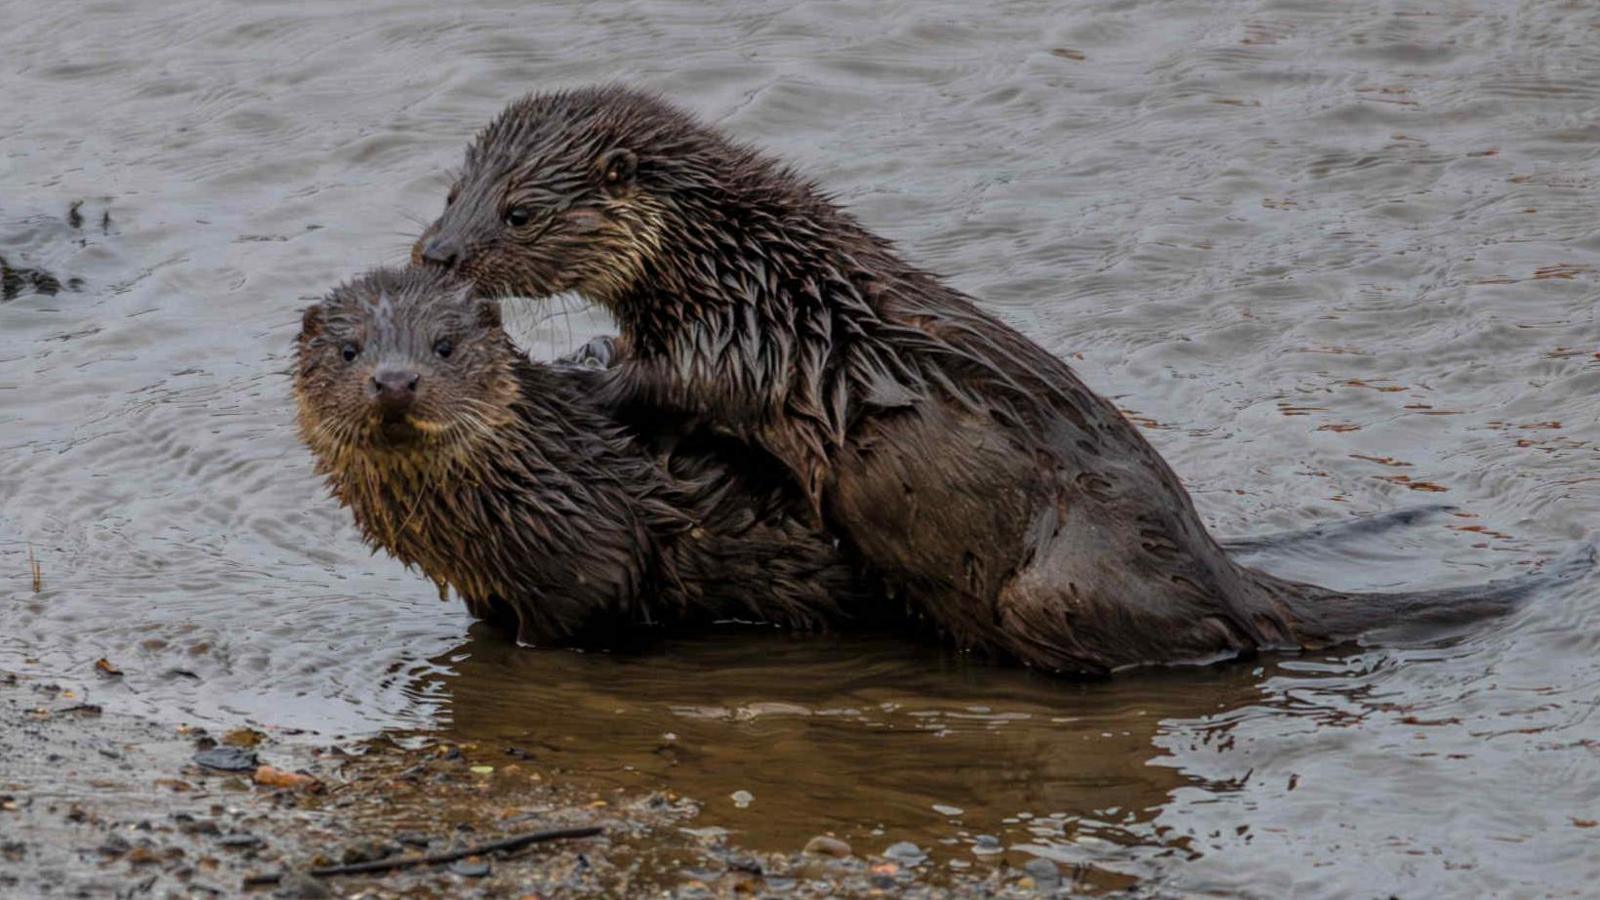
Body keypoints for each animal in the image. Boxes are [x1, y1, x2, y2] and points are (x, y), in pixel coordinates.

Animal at [413, 86, 1586, 674]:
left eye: (517, 211)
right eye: (452, 186)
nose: (436, 252)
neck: (735, 260)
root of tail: (1219, 568)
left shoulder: (740, 337)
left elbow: (682, 386)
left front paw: (591, 369)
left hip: (1062, 580)